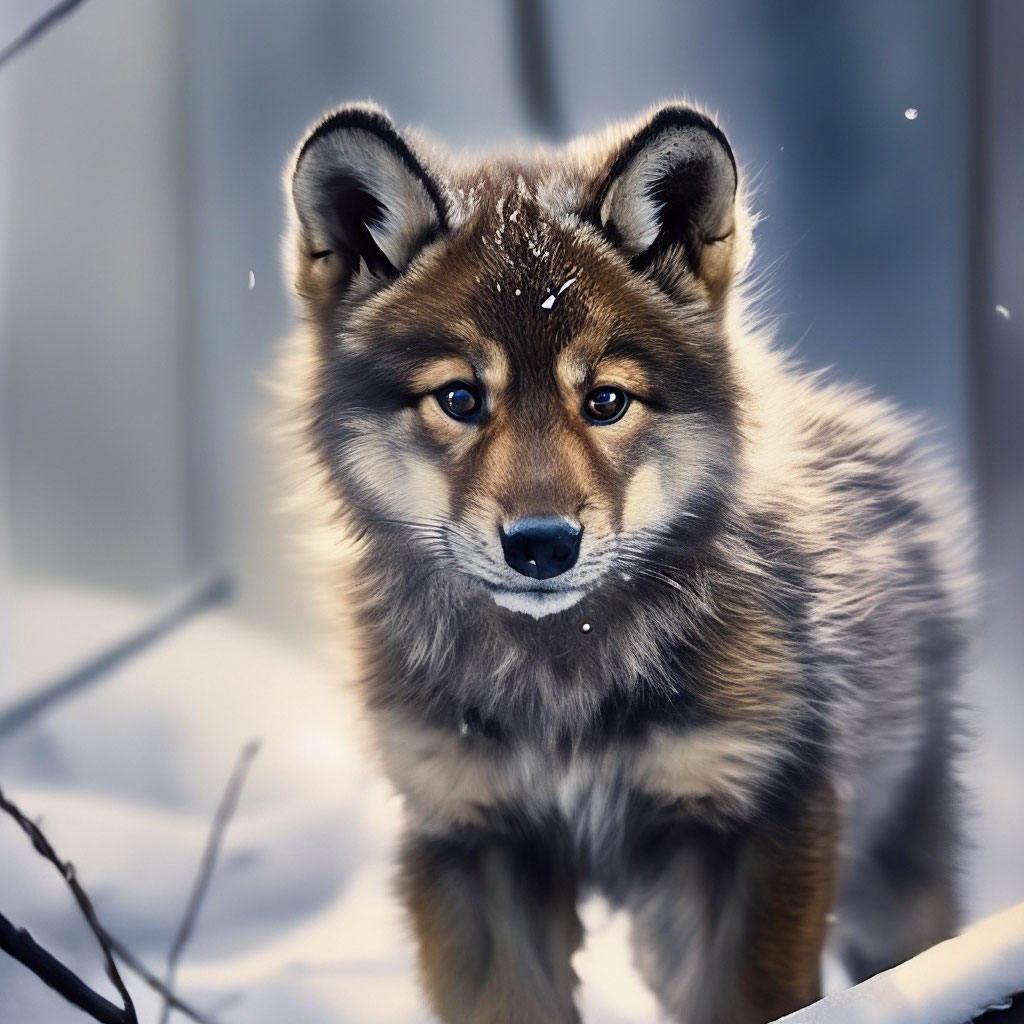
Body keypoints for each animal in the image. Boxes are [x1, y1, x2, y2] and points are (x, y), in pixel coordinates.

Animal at [280, 101, 974, 1024]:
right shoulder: (470, 833)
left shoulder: (761, 816)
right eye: (461, 398)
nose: (542, 544)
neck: (560, 684)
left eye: (605, 400)